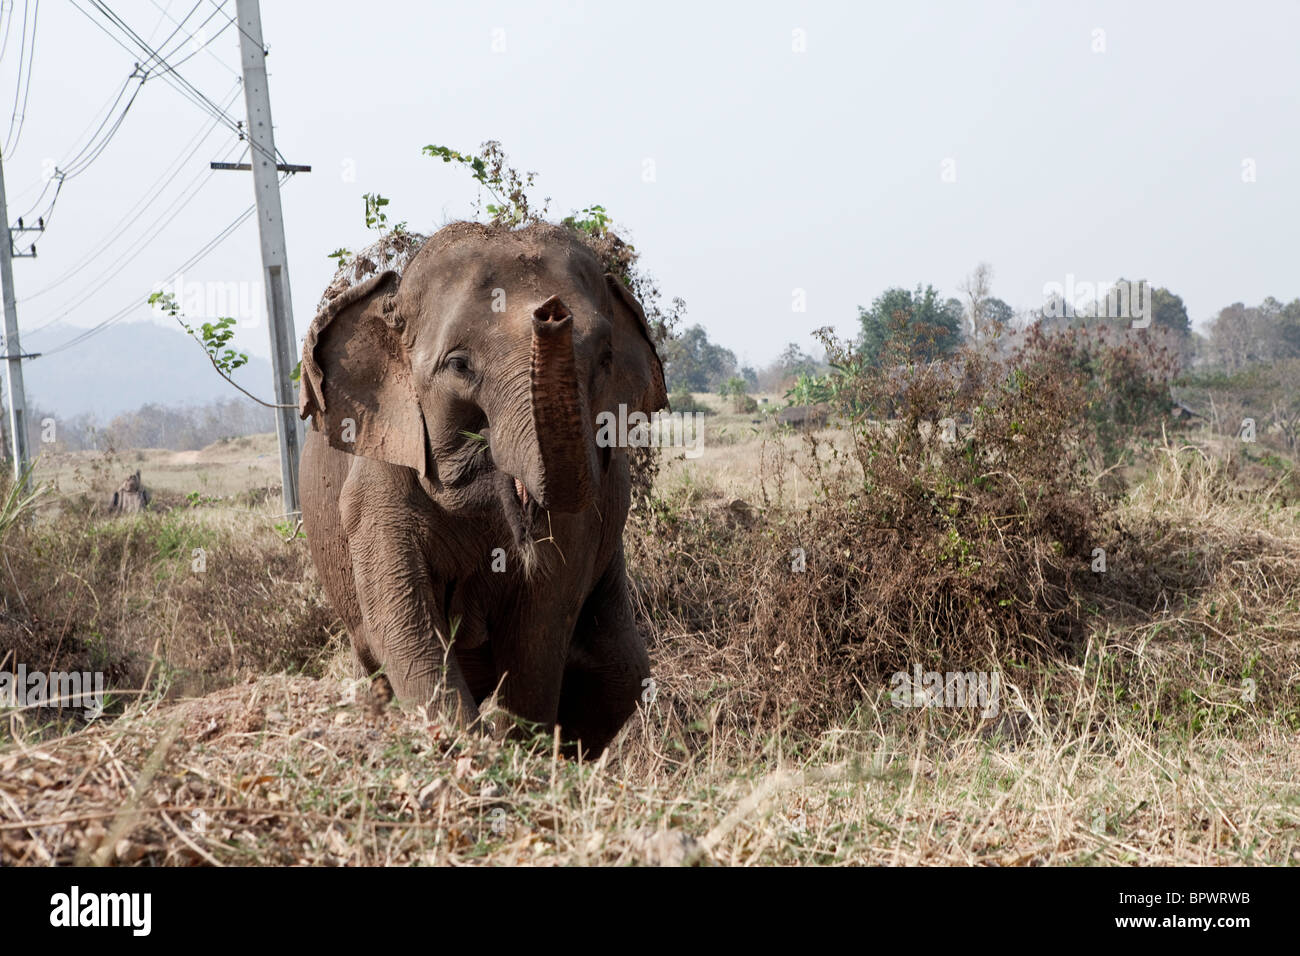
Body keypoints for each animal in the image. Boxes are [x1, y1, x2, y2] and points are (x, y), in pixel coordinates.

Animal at [298, 221, 668, 756]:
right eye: (459, 365)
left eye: (604, 357)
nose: (550, 311)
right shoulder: (376, 478)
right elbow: (405, 628)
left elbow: (541, 623)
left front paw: (521, 753)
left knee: (623, 674)